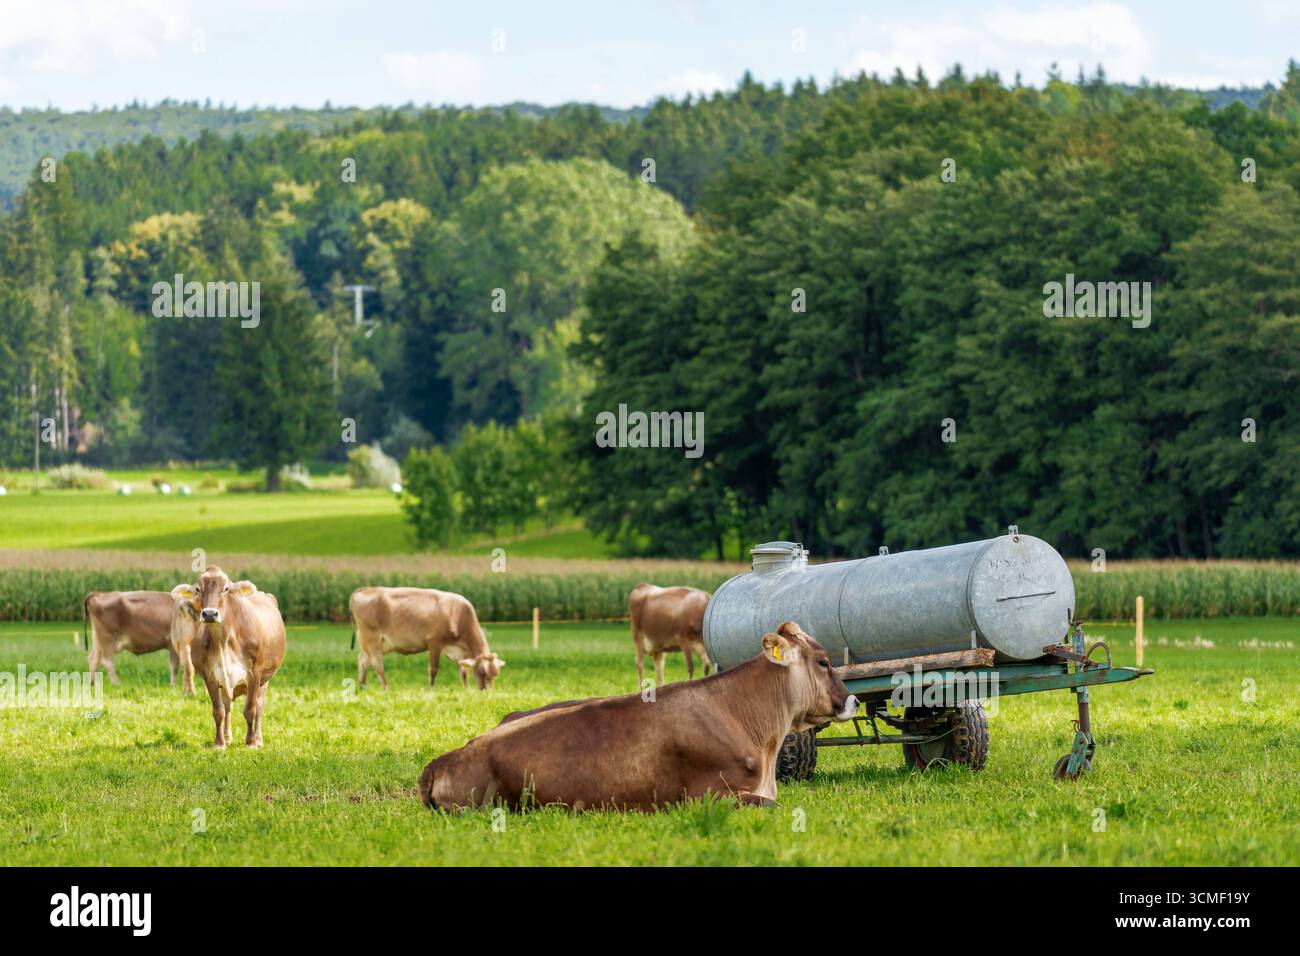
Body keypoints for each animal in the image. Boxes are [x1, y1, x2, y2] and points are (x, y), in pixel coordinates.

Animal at [171, 566, 286, 749]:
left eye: (226, 588)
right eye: (198, 589)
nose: (210, 614)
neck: (223, 639)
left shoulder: (255, 672)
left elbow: (250, 710)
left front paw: (250, 742)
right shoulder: (209, 675)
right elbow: (218, 711)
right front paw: (219, 743)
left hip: (265, 680)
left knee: (260, 706)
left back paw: (259, 739)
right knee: (228, 705)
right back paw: (227, 735)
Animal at [349, 586, 504, 691]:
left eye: (496, 674)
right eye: (483, 672)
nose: (487, 692)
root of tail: (364, 589)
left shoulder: (458, 651)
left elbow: (463, 671)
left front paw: (465, 689)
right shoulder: (434, 642)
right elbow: (433, 669)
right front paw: (431, 690)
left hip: (375, 644)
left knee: (362, 661)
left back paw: (362, 687)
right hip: (371, 638)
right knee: (376, 663)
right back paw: (386, 688)